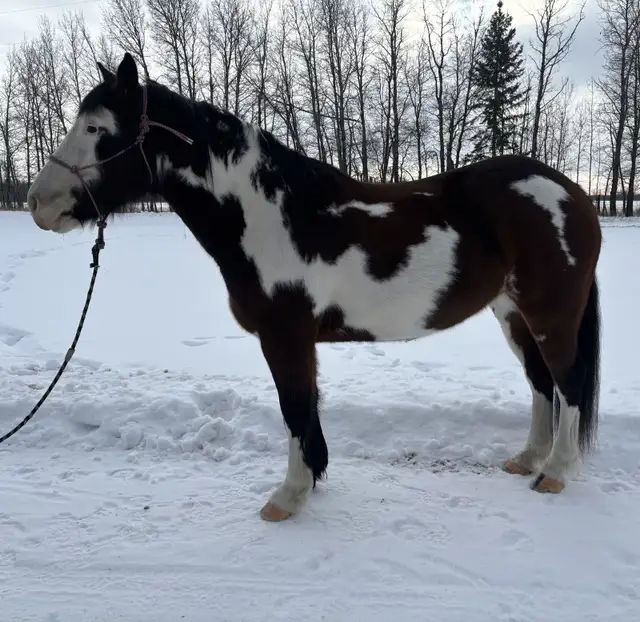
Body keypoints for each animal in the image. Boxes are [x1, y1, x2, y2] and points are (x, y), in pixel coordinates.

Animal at [26, 53, 602, 522]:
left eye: (96, 127)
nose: (37, 203)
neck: (271, 217)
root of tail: (572, 192)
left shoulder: (285, 336)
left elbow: (295, 407)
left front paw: (288, 498)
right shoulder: (298, 339)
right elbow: (307, 408)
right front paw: (312, 480)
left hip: (549, 314)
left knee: (567, 382)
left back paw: (554, 473)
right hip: (513, 313)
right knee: (541, 384)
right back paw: (527, 460)